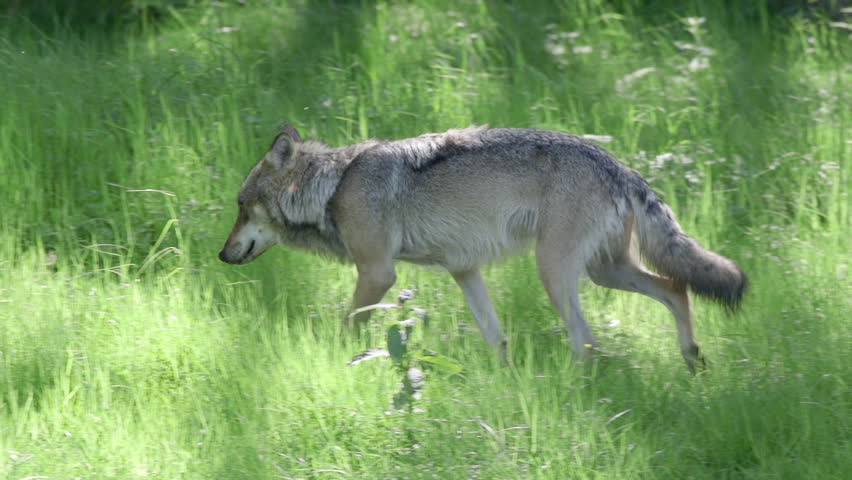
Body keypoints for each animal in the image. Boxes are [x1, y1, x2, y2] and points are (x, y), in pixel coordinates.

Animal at [219, 124, 746, 372]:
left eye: (242, 207)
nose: (222, 255)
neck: (334, 185)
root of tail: (619, 165)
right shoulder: (465, 270)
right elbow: (497, 339)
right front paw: (505, 384)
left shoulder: (377, 274)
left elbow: (348, 327)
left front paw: (336, 359)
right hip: (606, 272)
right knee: (676, 289)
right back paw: (692, 361)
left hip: (556, 273)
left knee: (586, 337)